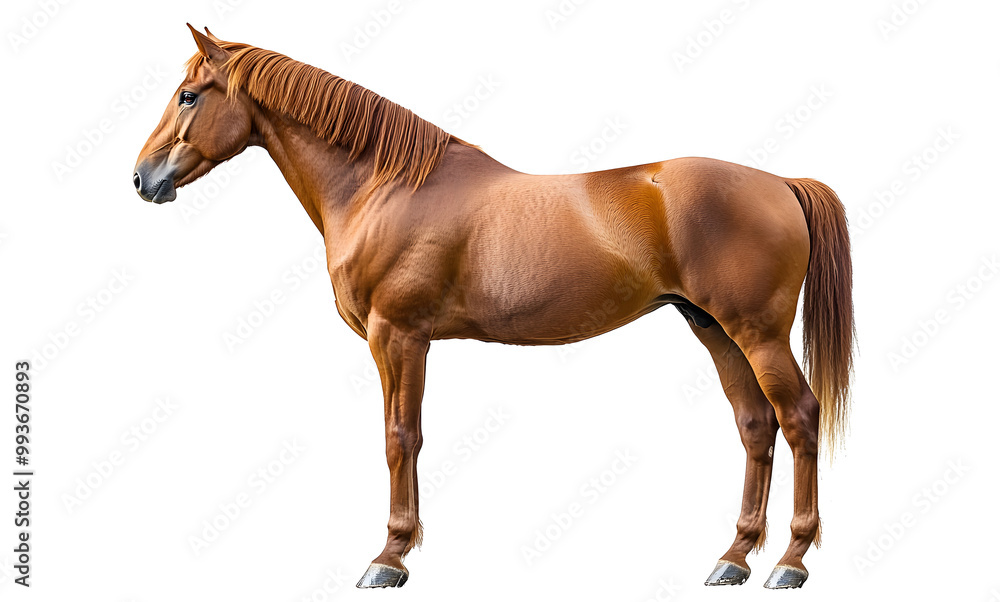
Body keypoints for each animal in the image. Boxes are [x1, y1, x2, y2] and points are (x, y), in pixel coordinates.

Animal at [134, 25, 854, 590]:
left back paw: (790, 562)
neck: (383, 185)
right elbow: (405, 436)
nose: (143, 178)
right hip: (715, 330)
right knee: (755, 425)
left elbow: (400, 437)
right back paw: (733, 558)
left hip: (757, 333)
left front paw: (389, 558)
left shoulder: (398, 336)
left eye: (189, 95)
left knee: (799, 417)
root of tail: (781, 183)